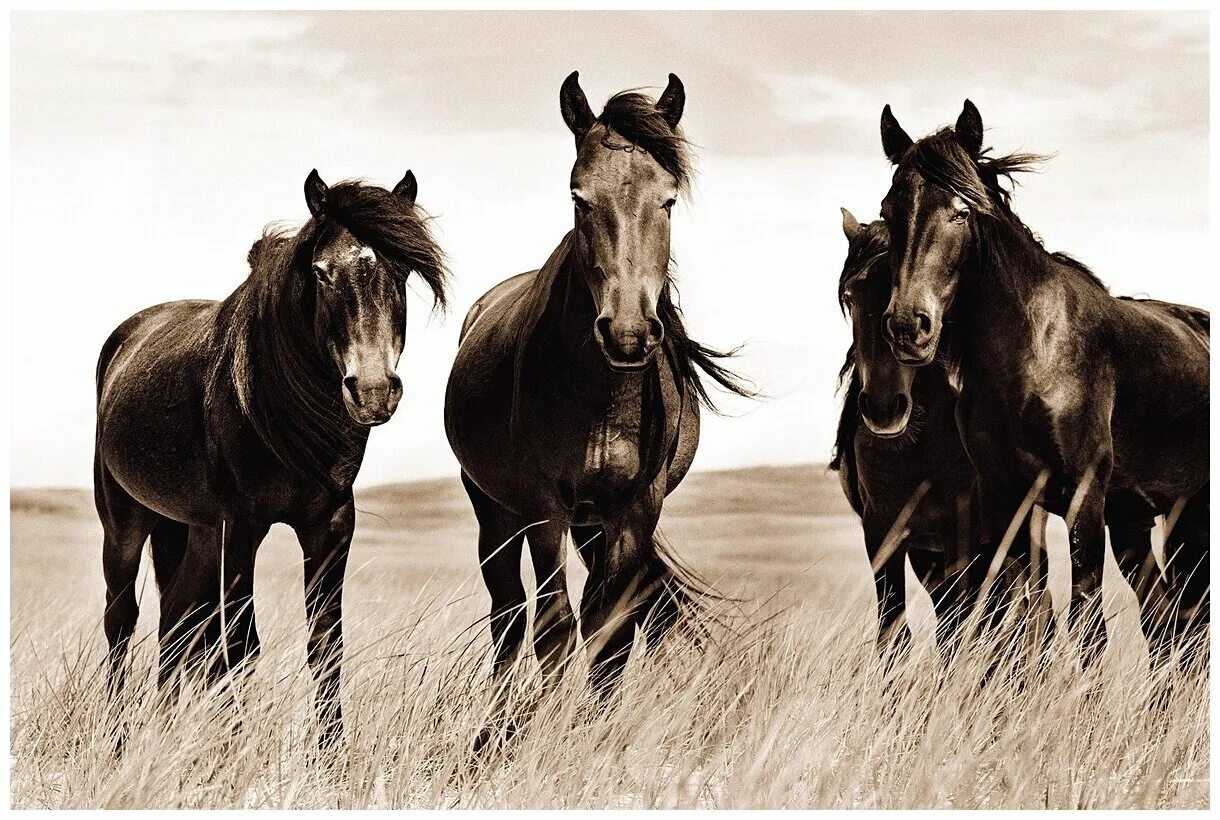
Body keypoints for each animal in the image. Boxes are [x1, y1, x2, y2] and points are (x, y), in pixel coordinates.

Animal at [93, 169, 448, 746]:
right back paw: (118, 735)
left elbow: (325, 645)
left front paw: (331, 752)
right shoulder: (241, 527)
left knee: (175, 622)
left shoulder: (329, 526)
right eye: (321, 273)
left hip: (191, 529)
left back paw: (163, 724)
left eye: (401, 272)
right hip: (125, 520)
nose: (372, 390)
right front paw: (233, 745)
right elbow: (237, 647)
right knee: (122, 620)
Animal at [446, 71, 751, 741]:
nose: (629, 334)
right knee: (509, 614)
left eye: (668, 200)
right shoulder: (544, 508)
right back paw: (496, 726)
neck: (603, 395)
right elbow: (555, 625)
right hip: (497, 512)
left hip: (594, 522)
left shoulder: (635, 508)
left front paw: (592, 730)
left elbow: (611, 627)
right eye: (579, 197)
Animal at [839, 209, 1171, 658]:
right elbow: (896, 636)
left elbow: (970, 628)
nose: (884, 408)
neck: (915, 454)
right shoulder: (882, 534)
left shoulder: (964, 541)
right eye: (851, 296)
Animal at [878, 100, 1210, 663]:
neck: (1034, 356)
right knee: (1170, 619)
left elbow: (1087, 621)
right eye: (888, 212)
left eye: (962, 210)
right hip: (1140, 518)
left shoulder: (1084, 498)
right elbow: (1015, 613)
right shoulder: (1008, 501)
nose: (908, 327)